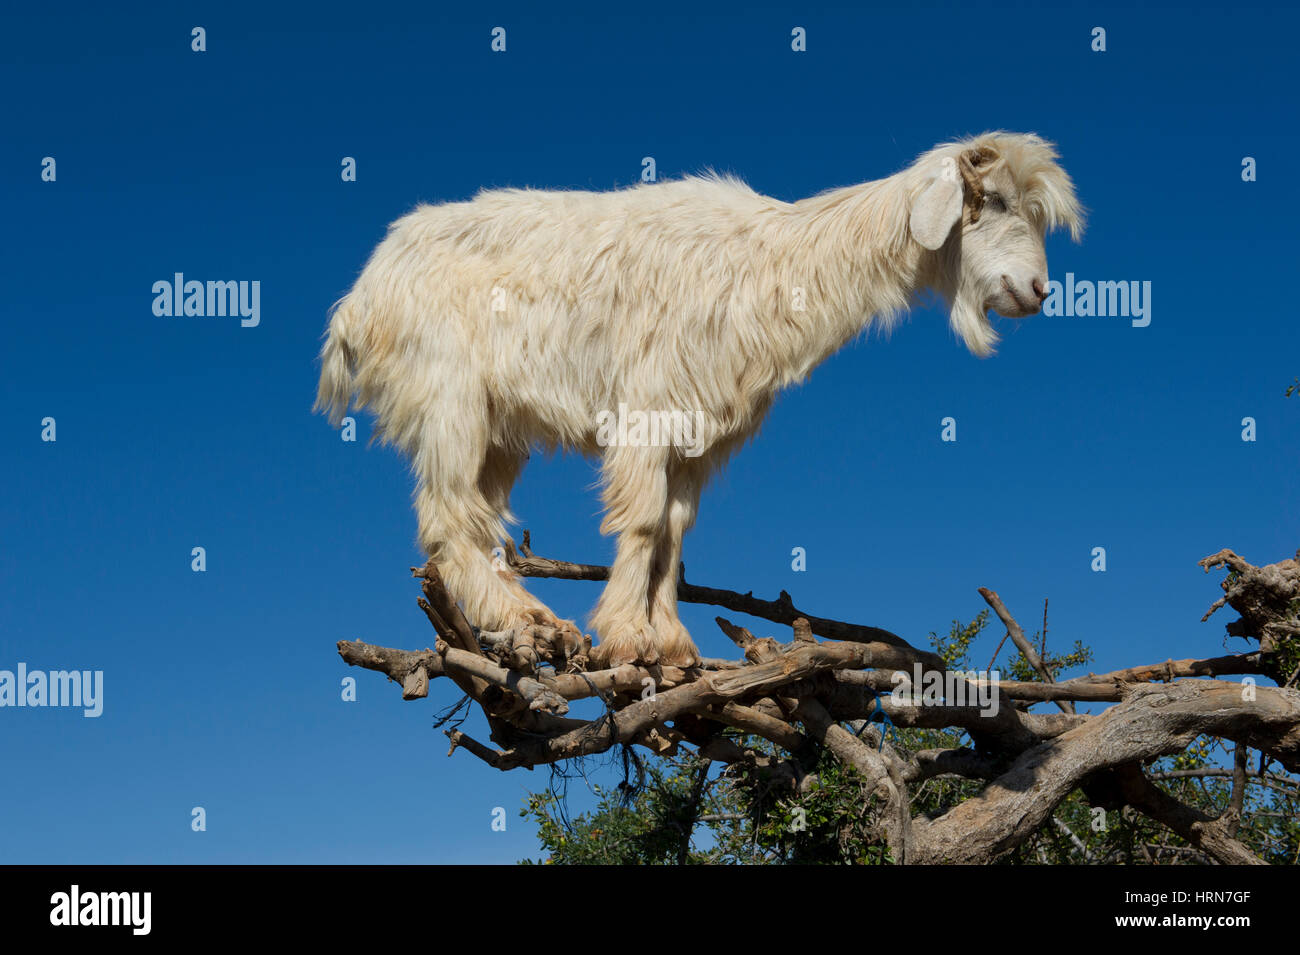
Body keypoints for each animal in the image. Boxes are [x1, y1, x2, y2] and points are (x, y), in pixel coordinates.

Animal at [316, 131, 1084, 667]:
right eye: (995, 201)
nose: (1037, 290)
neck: (772, 261)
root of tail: (358, 299)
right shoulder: (649, 405)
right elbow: (642, 521)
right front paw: (627, 636)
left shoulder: (701, 430)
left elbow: (676, 529)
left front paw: (674, 643)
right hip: (448, 394)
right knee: (446, 516)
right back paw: (529, 620)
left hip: (498, 429)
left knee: (473, 518)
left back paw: (527, 619)